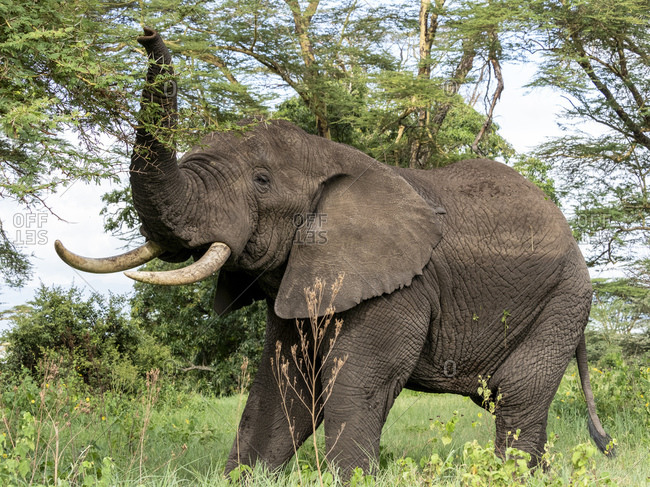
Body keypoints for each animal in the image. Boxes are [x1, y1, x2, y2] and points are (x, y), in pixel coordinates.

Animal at [55, 28, 614, 476]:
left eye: (261, 181)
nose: (146, 31)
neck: (329, 155)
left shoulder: (395, 289)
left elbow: (354, 387)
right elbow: (282, 389)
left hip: (564, 299)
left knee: (517, 398)